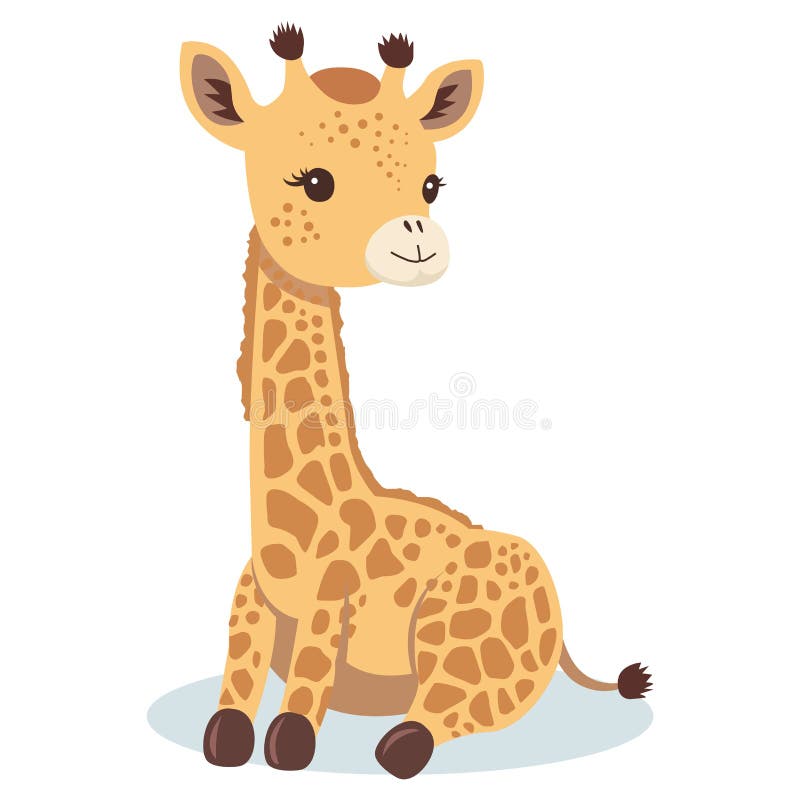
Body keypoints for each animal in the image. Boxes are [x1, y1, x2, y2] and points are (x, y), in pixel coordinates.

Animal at [179, 24, 652, 779]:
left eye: (431, 184)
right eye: (315, 180)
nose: (419, 240)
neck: (286, 544)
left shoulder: (327, 608)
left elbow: (293, 731)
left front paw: (293, 742)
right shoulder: (249, 605)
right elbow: (226, 721)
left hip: (454, 633)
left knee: (429, 725)